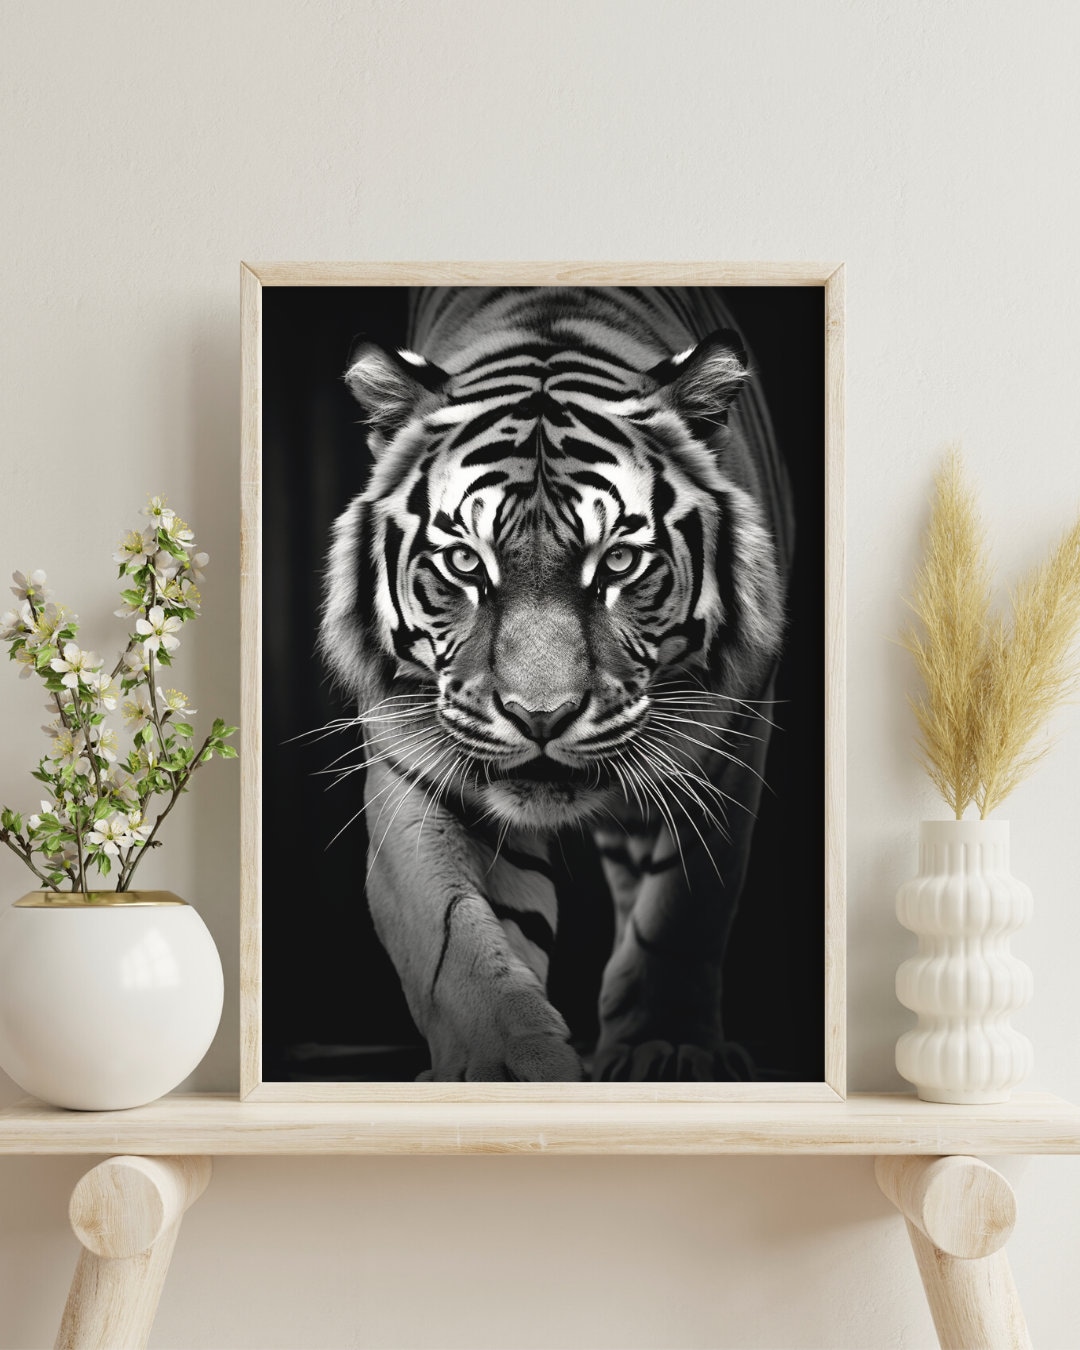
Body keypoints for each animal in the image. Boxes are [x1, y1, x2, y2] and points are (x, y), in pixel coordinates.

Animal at [320, 286, 794, 1082]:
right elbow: (454, 941)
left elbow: (683, 912)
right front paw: (503, 1064)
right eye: (466, 563)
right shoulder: (414, 770)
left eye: (620, 563)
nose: (541, 718)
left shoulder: (729, 747)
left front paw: (668, 1045)